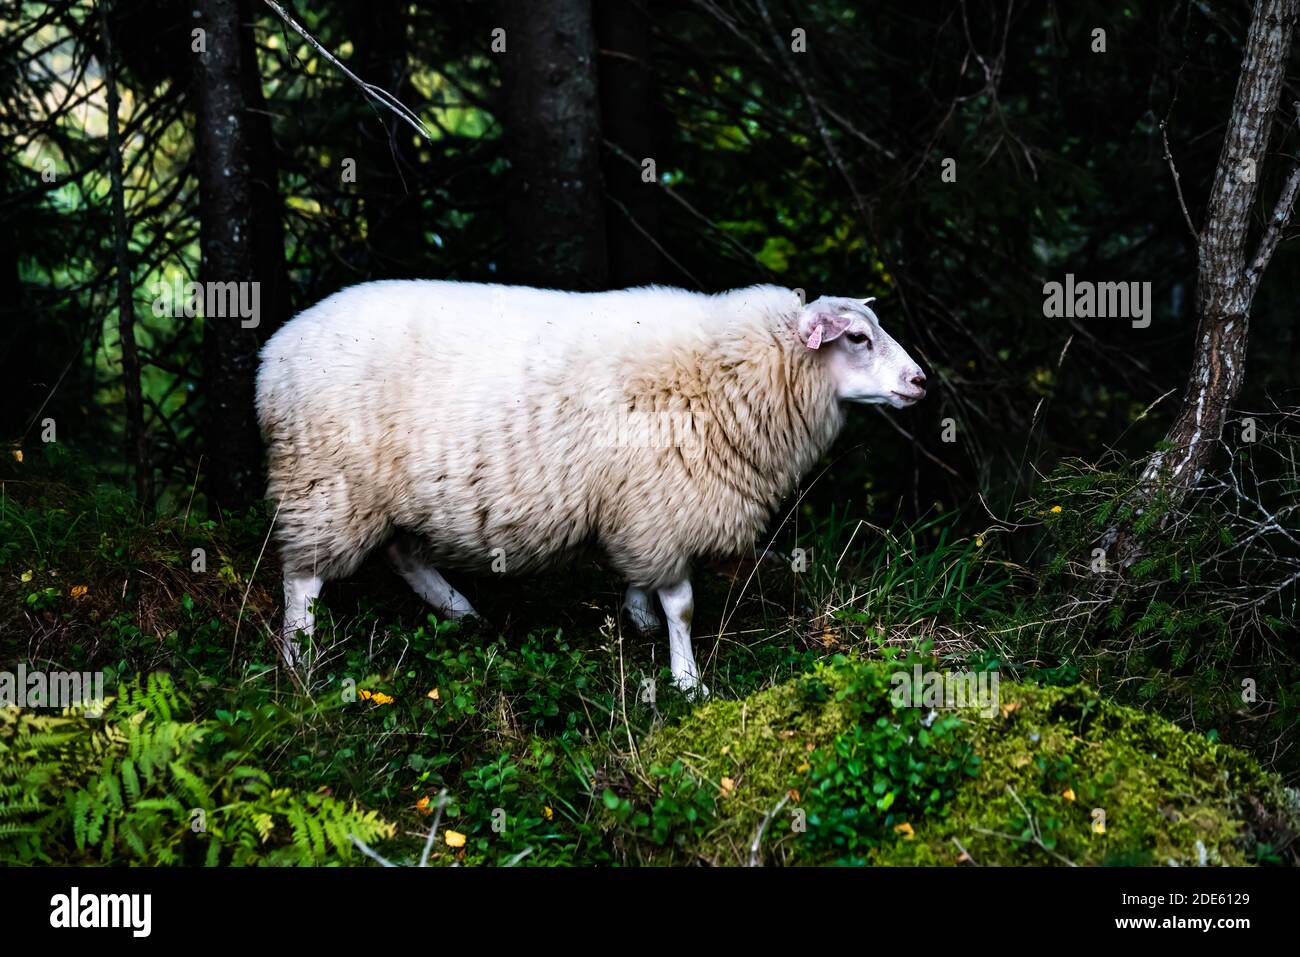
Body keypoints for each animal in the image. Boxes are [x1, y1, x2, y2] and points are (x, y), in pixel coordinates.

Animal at [255, 281, 927, 696]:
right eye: (857, 338)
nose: (920, 381)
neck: (728, 372)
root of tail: (273, 356)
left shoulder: (641, 506)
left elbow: (644, 579)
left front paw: (639, 616)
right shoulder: (664, 500)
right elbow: (683, 603)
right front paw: (687, 680)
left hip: (389, 489)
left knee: (402, 552)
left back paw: (460, 612)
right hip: (326, 482)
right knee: (303, 581)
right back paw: (300, 662)